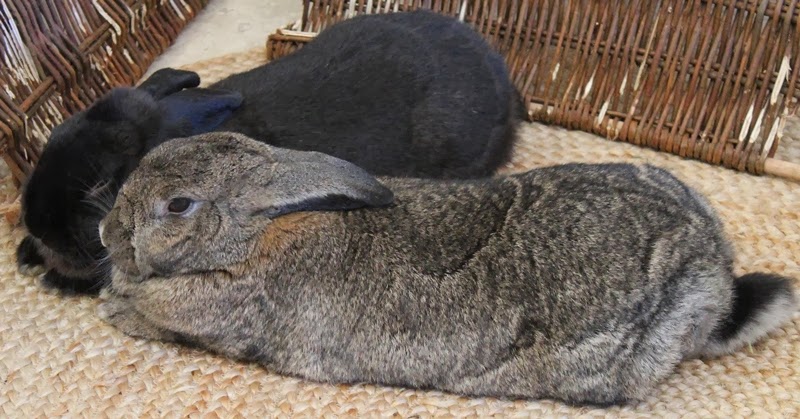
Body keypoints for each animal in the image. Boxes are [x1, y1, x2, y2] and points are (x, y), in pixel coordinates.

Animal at [18, 9, 523, 294]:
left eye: (101, 184)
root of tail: (504, 77)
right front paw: (28, 255)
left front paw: (54, 278)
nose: (38, 229)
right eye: (55, 134)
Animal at [97, 132, 797, 406]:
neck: (250, 238)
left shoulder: (226, 324)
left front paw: (115, 309)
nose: (106, 234)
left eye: (177, 206)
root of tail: (716, 270)